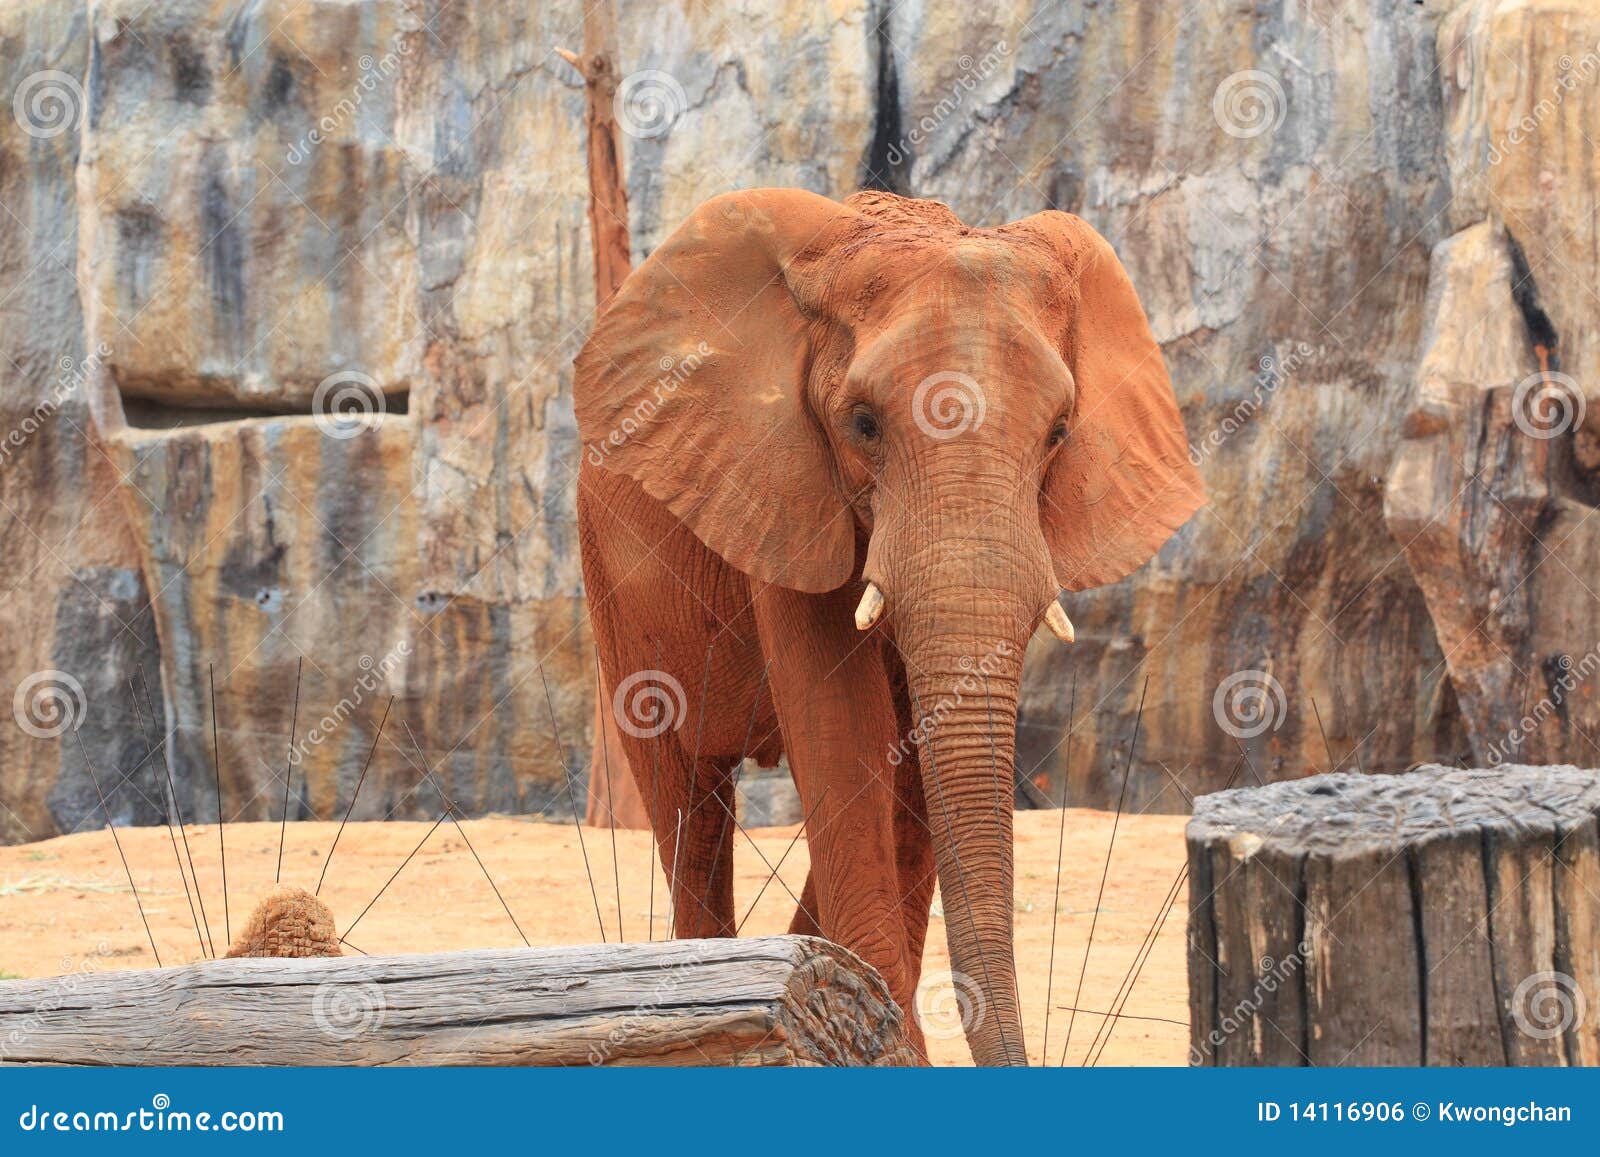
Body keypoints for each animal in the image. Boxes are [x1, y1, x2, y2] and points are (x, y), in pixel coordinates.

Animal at [573, 188, 1204, 1065]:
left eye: (1058, 433)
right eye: (863, 423)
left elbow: (910, 767)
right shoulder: (783, 484)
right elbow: (845, 732)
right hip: (614, 578)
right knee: (686, 794)